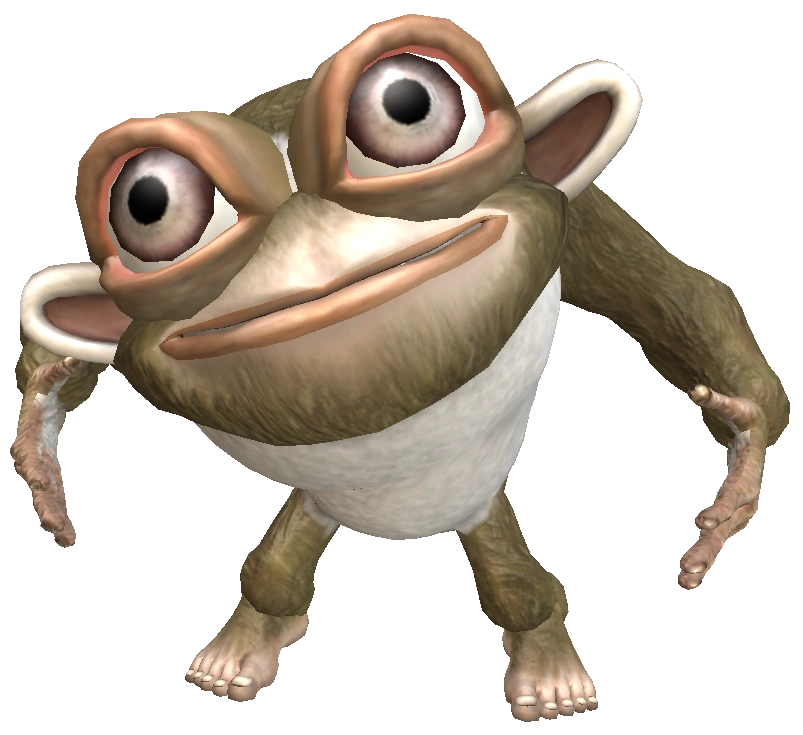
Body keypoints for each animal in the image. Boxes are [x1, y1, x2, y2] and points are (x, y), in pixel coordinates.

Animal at [12, 15, 788, 722]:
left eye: (408, 103)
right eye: (148, 202)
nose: (310, 245)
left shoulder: (578, 222)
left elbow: (665, 293)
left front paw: (744, 444)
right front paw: (39, 442)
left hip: (475, 501)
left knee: (516, 584)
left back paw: (547, 667)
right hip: (319, 505)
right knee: (275, 570)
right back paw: (243, 646)